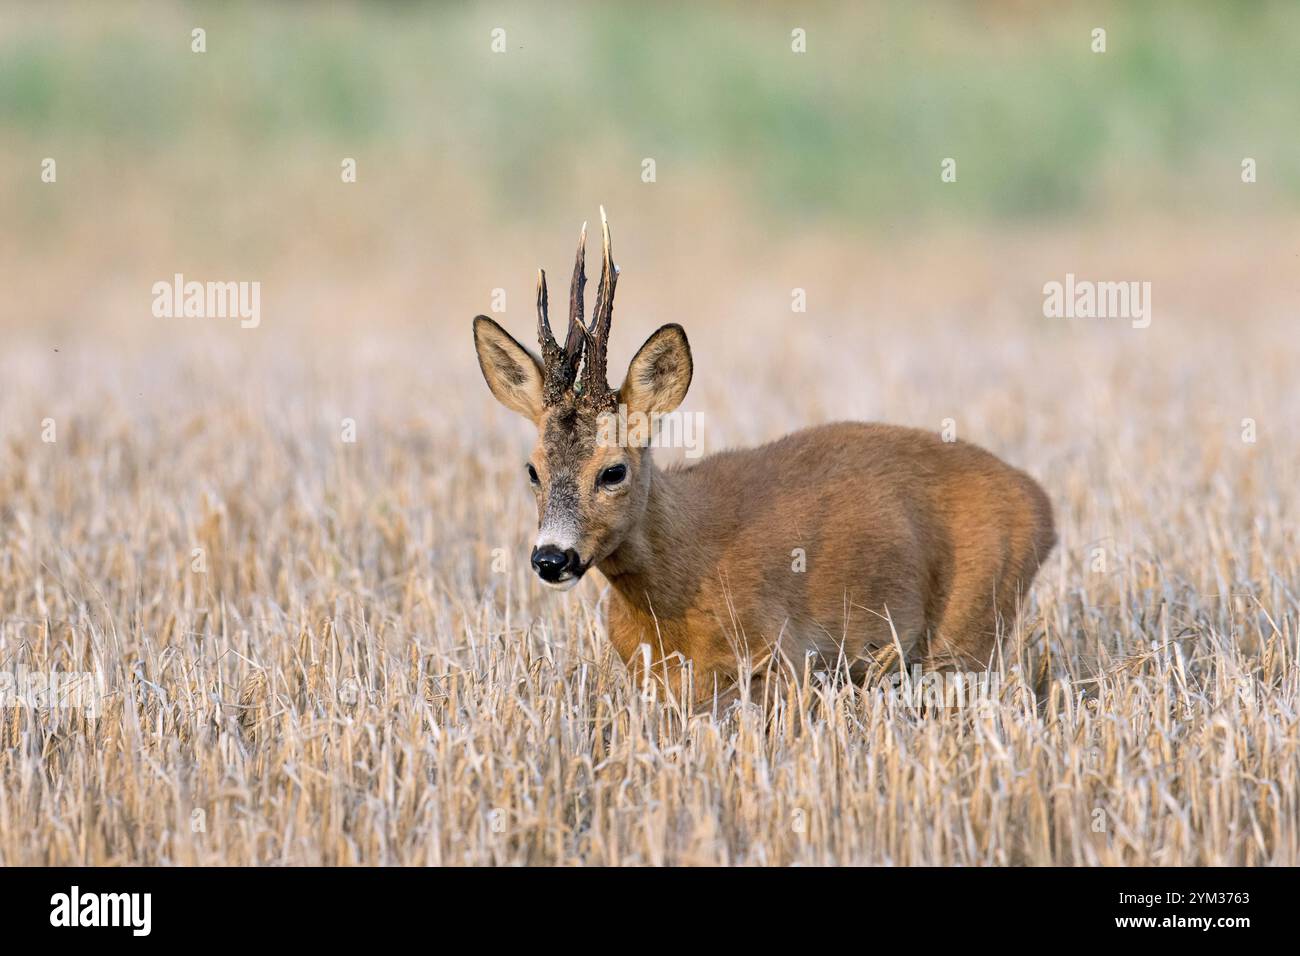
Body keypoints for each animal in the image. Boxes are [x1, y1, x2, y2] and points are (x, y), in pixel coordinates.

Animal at [472, 209, 1056, 708]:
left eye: (613, 470)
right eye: (532, 470)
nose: (551, 558)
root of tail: (1041, 506)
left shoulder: (784, 657)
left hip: (969, 633)